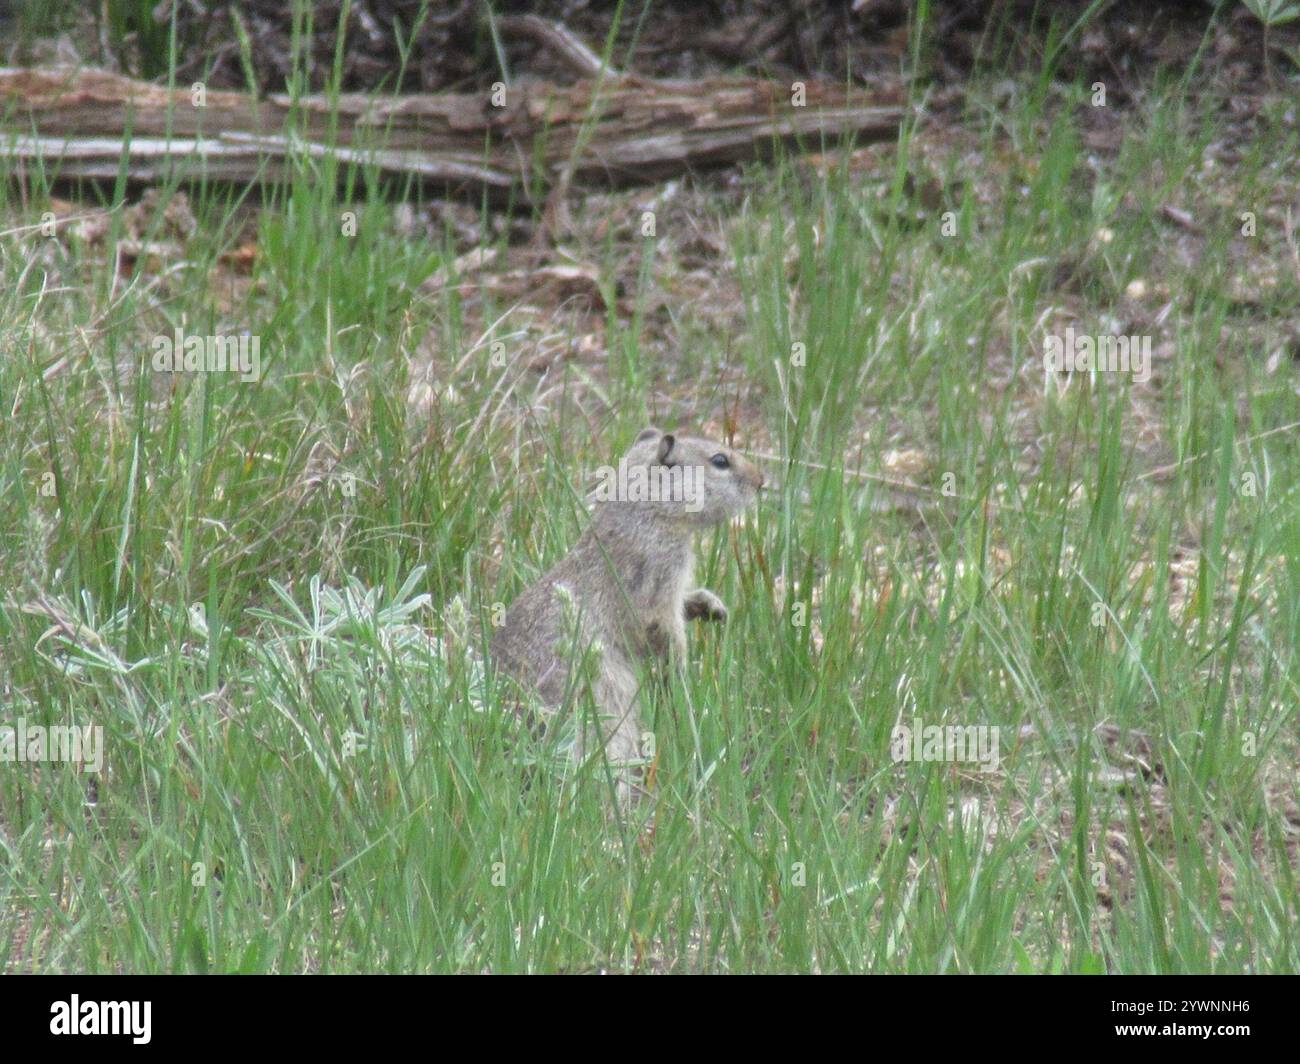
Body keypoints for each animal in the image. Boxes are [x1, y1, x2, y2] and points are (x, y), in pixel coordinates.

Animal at [491, 427, 764, 799]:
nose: (762, 481)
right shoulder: (658, 572)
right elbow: (659, 625)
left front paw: (710, 605)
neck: (648, 511)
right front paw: (679, 670)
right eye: (720, 460)